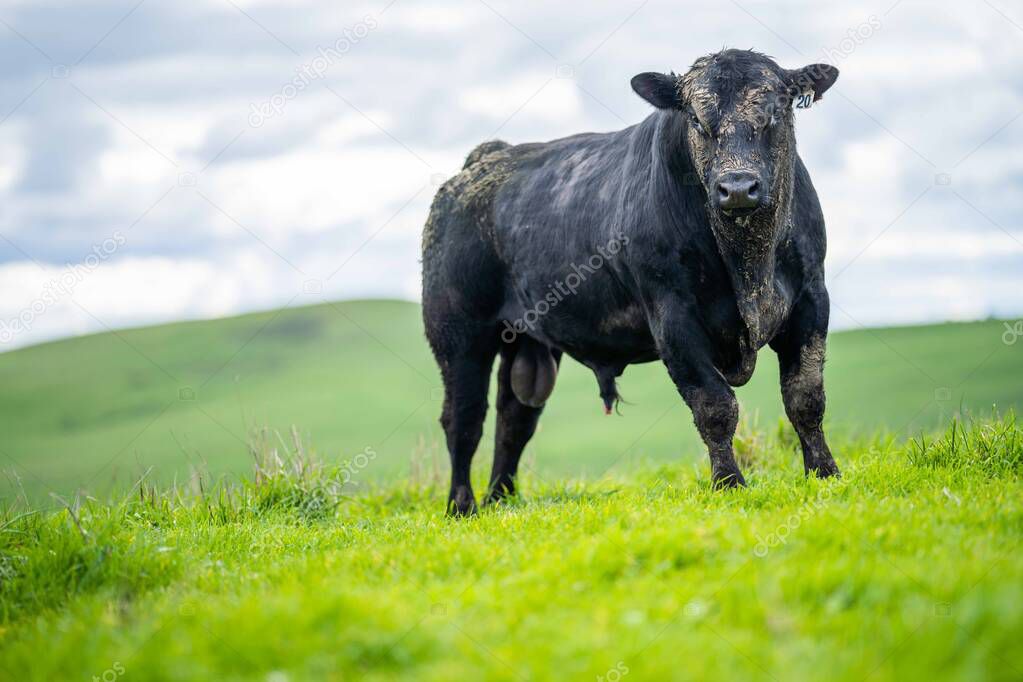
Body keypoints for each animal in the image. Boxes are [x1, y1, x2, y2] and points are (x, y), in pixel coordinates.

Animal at [422, 49, 841, 515]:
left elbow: (806, 396)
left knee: (514, 420)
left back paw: (501, 499)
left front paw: (825, 473)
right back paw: (462, 505)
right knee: (464, 418)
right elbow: (715, 407)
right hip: (459, 334)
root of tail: (484, 160)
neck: (750, 266)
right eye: (698, 120)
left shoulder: (811, 299)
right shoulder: (673, 317)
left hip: (526, 341)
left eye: (775, 113)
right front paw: (729, 483)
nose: (737, 188)